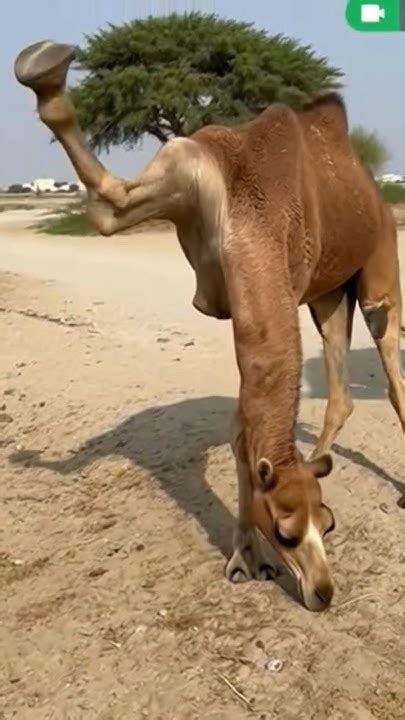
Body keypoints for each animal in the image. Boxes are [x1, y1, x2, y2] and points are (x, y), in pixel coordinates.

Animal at [14, 40, 404, 612]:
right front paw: (245, 557)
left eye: (329, 526)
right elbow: (241, 434)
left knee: (384, 337)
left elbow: (246, 428)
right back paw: (319, 458)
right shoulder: (191, 182)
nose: (323, 593)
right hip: (329, 293)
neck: (253, 211)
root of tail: (373, 190)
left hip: (378, 255)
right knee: (341, 374)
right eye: (287, 532)